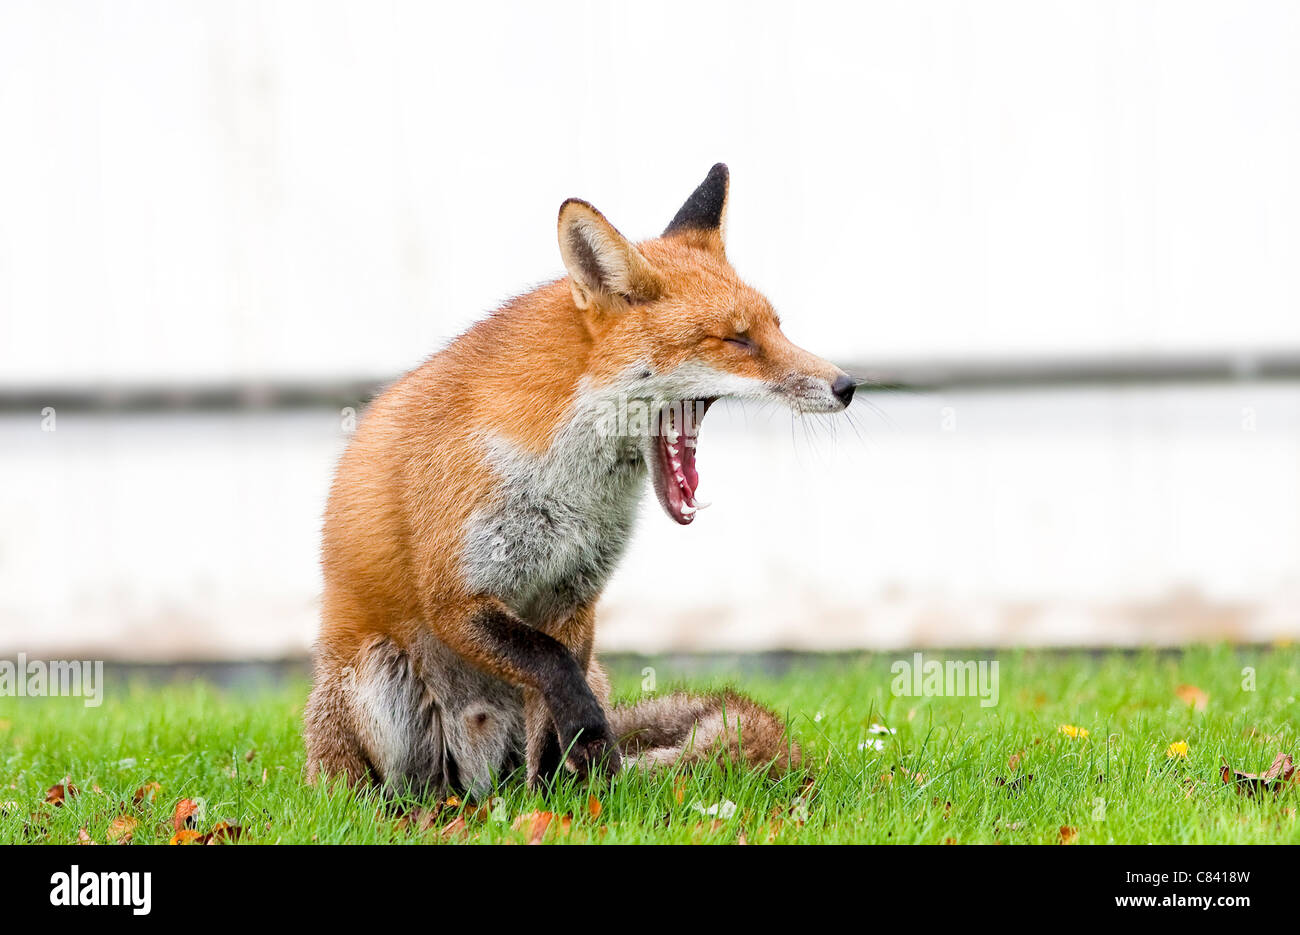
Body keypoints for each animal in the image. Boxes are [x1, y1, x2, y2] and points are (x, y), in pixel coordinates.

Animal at [304, 164, 856, 798]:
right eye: (736, 339)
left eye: (777, 328)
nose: (847, 386)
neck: (570, 486)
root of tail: (476, 787)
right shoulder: (454, 592)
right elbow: (550, 665)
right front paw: (583, 751)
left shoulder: (573, 593)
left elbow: (552, 712)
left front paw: (559, 802)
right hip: (377, 678)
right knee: (401, 783)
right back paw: (413, 808)